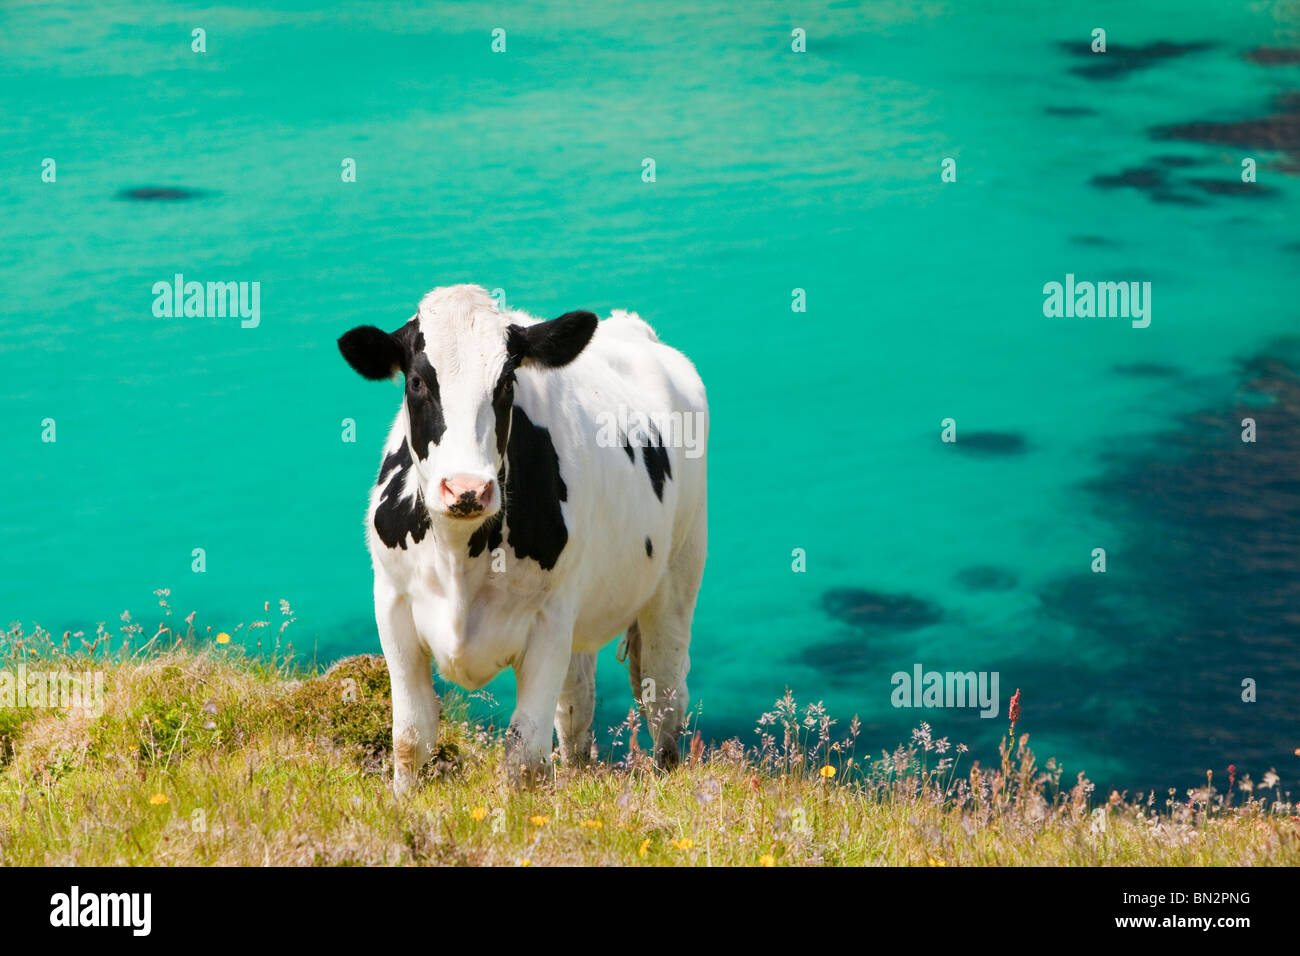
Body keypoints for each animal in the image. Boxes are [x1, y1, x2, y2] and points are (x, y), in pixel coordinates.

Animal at [337, 284, 708, 794]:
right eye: (416, 382)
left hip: (677, 573)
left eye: (507, 384)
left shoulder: (549, 619)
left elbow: (525, 756)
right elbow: (411, 736)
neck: (458, 554)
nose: (467, 489)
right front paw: (403, 800)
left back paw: (664, 773)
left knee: (663, 694)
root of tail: (634, 327)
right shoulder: (391, 601)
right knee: (577, 706)